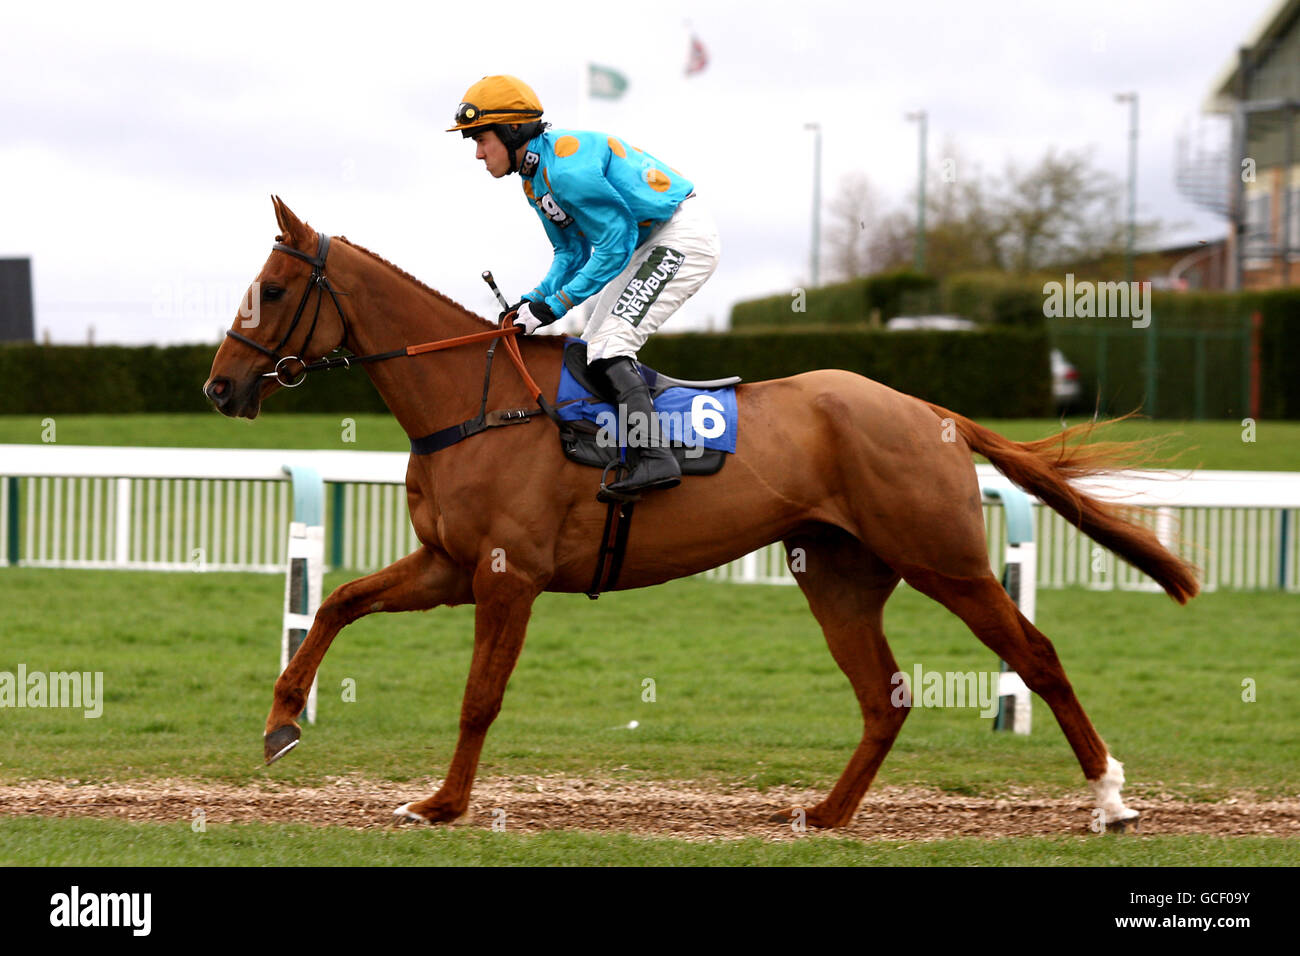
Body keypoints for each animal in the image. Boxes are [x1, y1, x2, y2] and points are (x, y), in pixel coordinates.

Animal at [203, 197, 1199, 830]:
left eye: (275, 291)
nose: (218, 387)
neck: (476, 401)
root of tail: (932, 411)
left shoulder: (506, 576)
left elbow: (479, 698)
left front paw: (441, 804)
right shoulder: (449, 566)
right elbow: (337, 603)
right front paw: (283, 723)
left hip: (944, 559)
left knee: (1035, 655)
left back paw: (1111, 800)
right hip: (837, 573)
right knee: (885, 694)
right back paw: (827, 813)